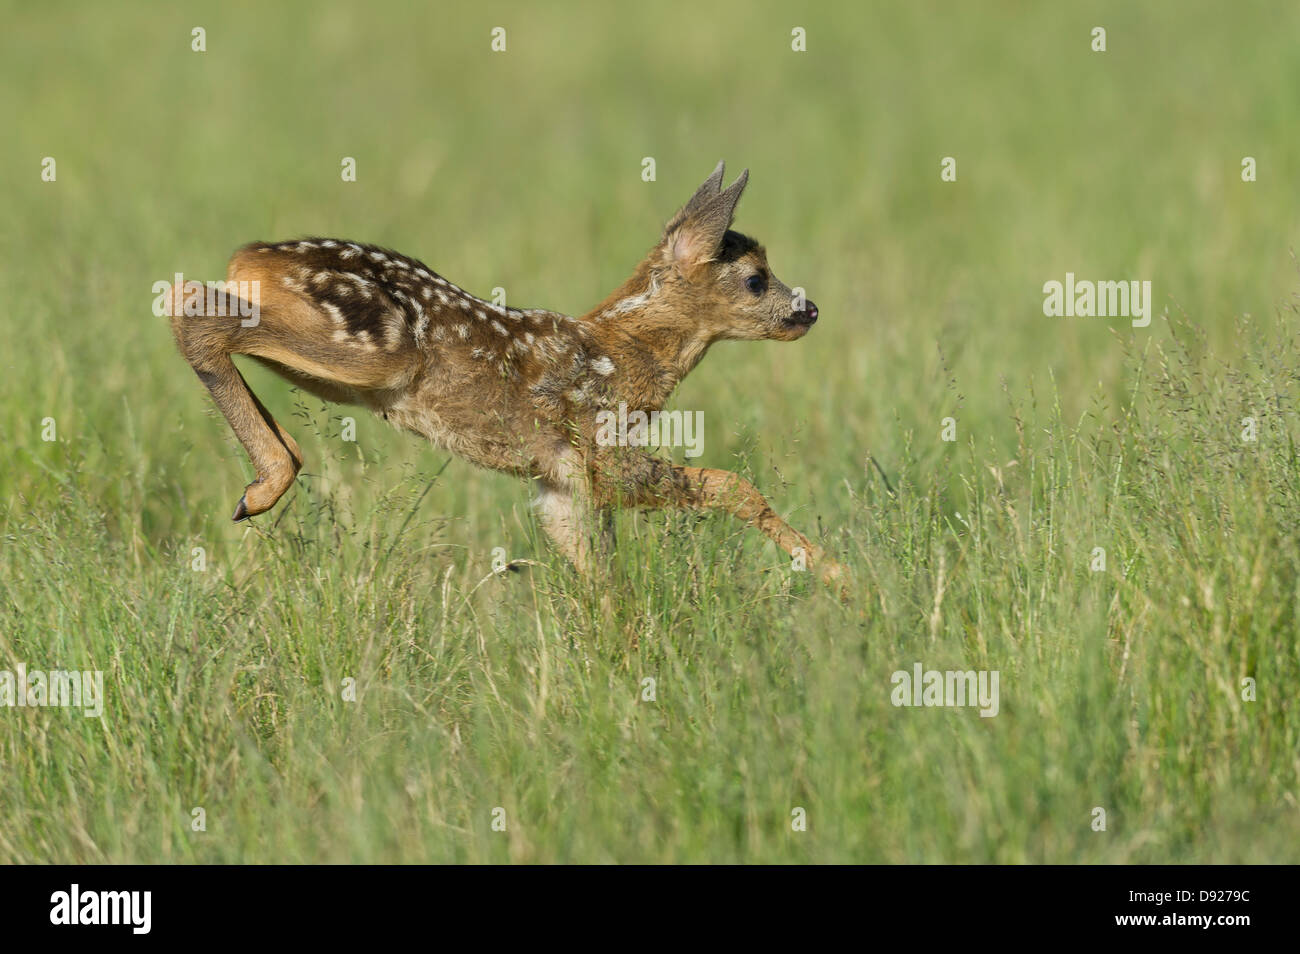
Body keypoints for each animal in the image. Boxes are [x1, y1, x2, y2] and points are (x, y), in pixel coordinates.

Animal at [167, 162, 849, 595]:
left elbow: (603, 578)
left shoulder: (560, 484)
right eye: (757, 278)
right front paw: (841, 578)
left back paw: (270, 471)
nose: (811, 310)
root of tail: (251, 255)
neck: (623, 355)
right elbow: (732, 486)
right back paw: (267, 483)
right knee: (189, 305)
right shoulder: (599, 450)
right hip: (373, 350)